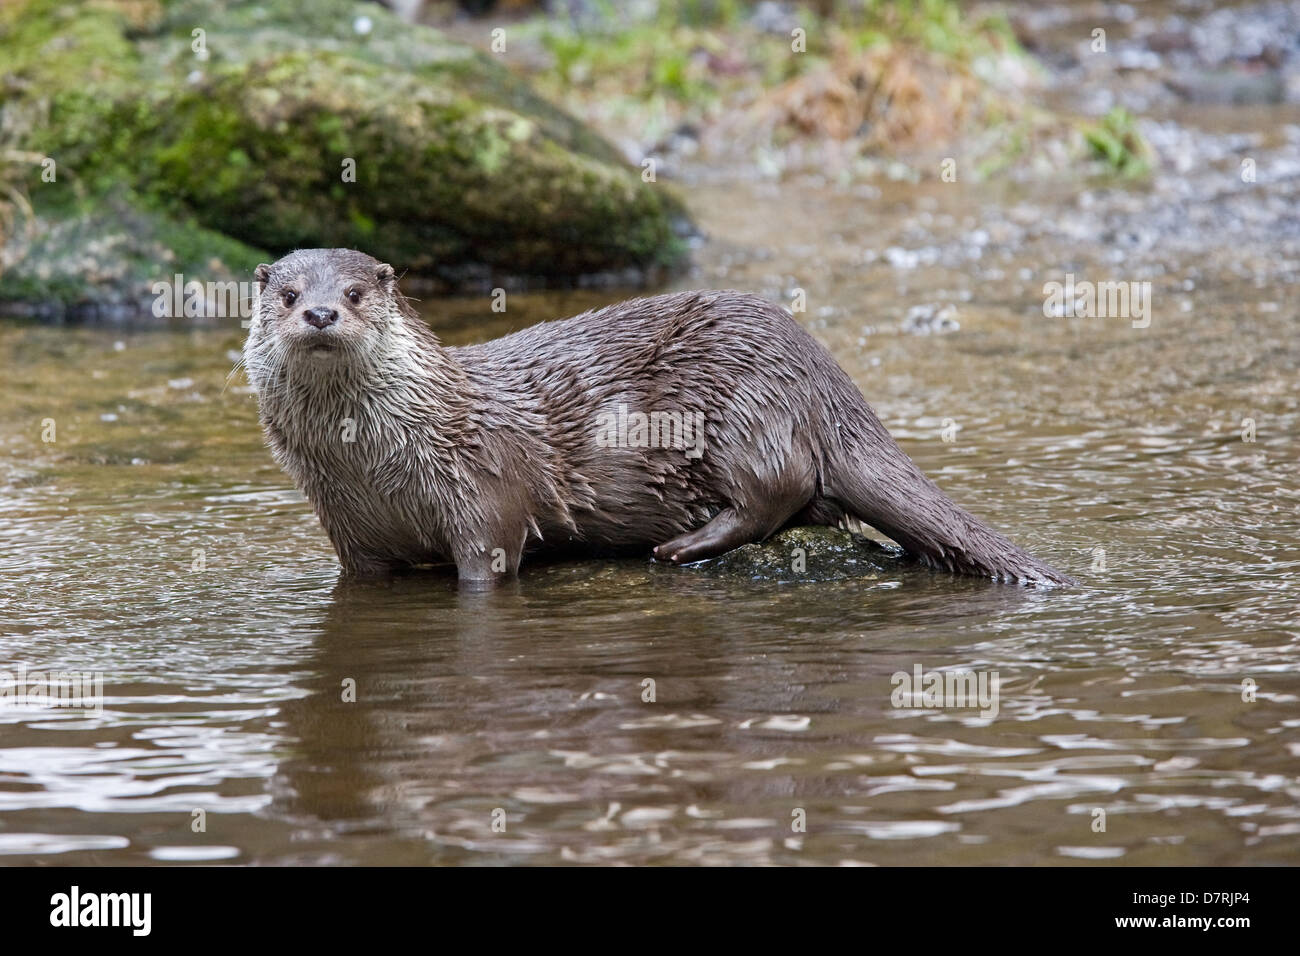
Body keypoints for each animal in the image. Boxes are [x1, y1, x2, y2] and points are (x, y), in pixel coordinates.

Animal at [243, 248, 1074, 586]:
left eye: (355, 293)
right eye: (287, 294)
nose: (319, 312)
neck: (376, 465)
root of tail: (826, 377)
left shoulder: (482, 488)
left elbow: (489, 561)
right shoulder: (349, 532)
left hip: (738, 402)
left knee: (779, 488)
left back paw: (682, 547)